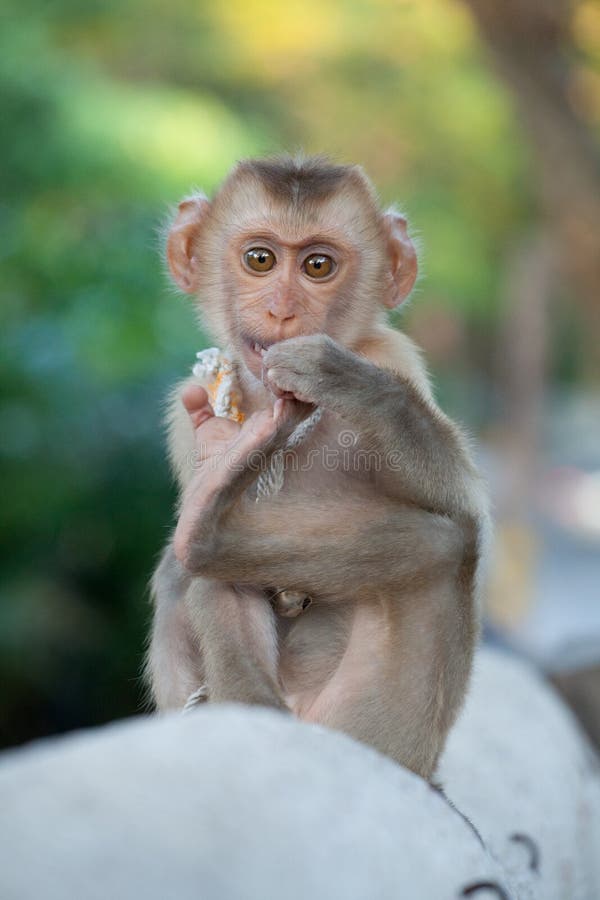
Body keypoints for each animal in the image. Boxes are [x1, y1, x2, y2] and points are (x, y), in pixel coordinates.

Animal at [147, 155, 490, 781]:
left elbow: (465, 502)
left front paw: (340, 377)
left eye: (317, 266)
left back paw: (207, 531)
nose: (284, 311)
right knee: (184, 573)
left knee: (450, 545)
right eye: (260, 259)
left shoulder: (395, 357)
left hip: (381, 732)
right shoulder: (183, 416)